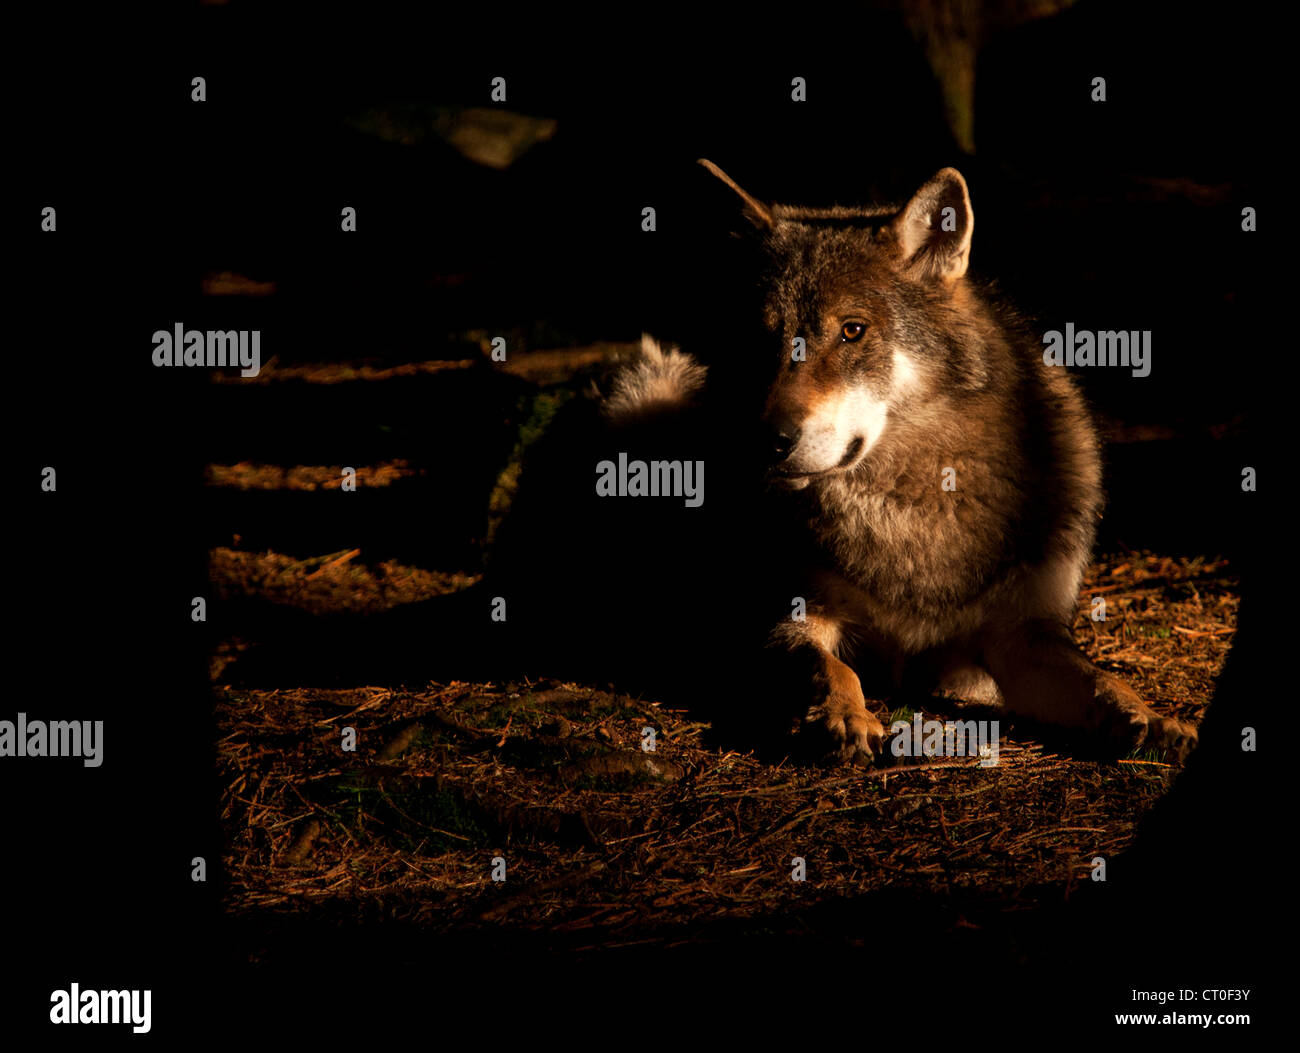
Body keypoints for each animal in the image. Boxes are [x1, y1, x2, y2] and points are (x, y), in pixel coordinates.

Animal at [600, 160, 1198, 763]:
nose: (770, 440)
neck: (907, 507)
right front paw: (844, 715)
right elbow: (828, 666)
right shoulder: (786, 616)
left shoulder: (1021, 634)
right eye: (761, 338)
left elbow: (1101, 678)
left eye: (852, 330)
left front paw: (1153, 718)